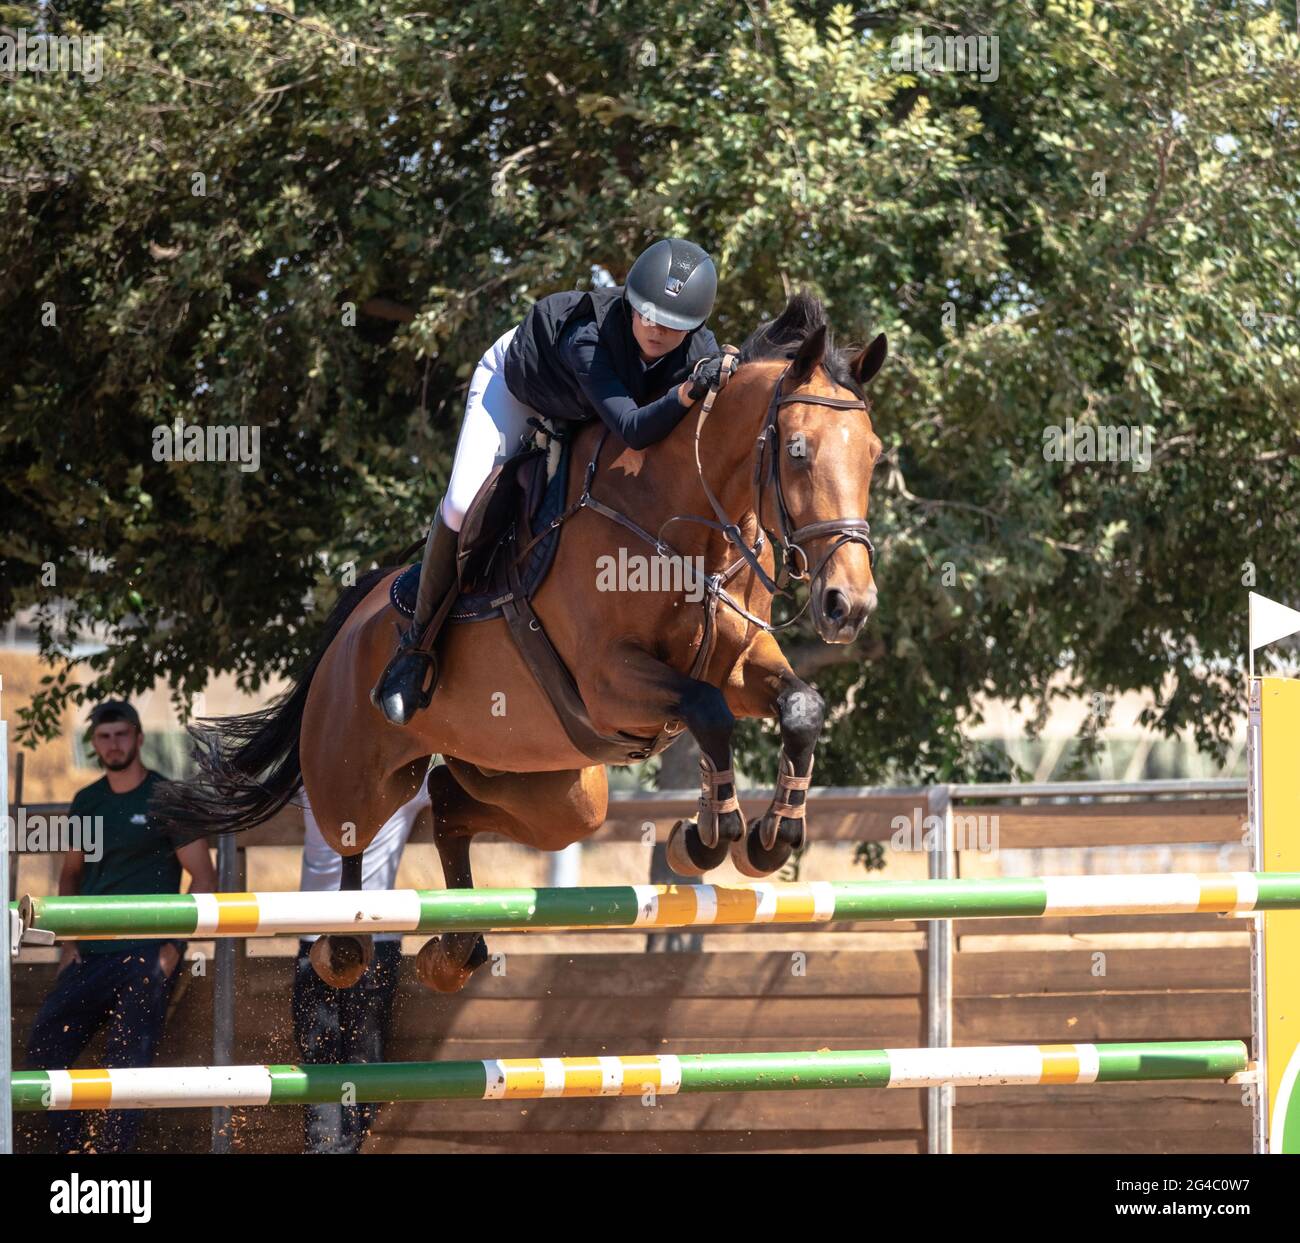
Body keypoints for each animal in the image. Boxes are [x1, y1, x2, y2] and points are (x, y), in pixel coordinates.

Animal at [152, 292, 886, 993]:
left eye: (875, 453)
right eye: (797, 449)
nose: (848, 605)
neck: (681, 524)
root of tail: (354, 619)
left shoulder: (739, 664)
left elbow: (798, 707)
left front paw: (770, 838)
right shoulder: (610, 679)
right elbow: (707, 712)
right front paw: (709, 838)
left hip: (552, 788)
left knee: (450, 802)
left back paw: (454, 952)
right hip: (354, 770)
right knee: (350, 839)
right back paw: (344, 946)